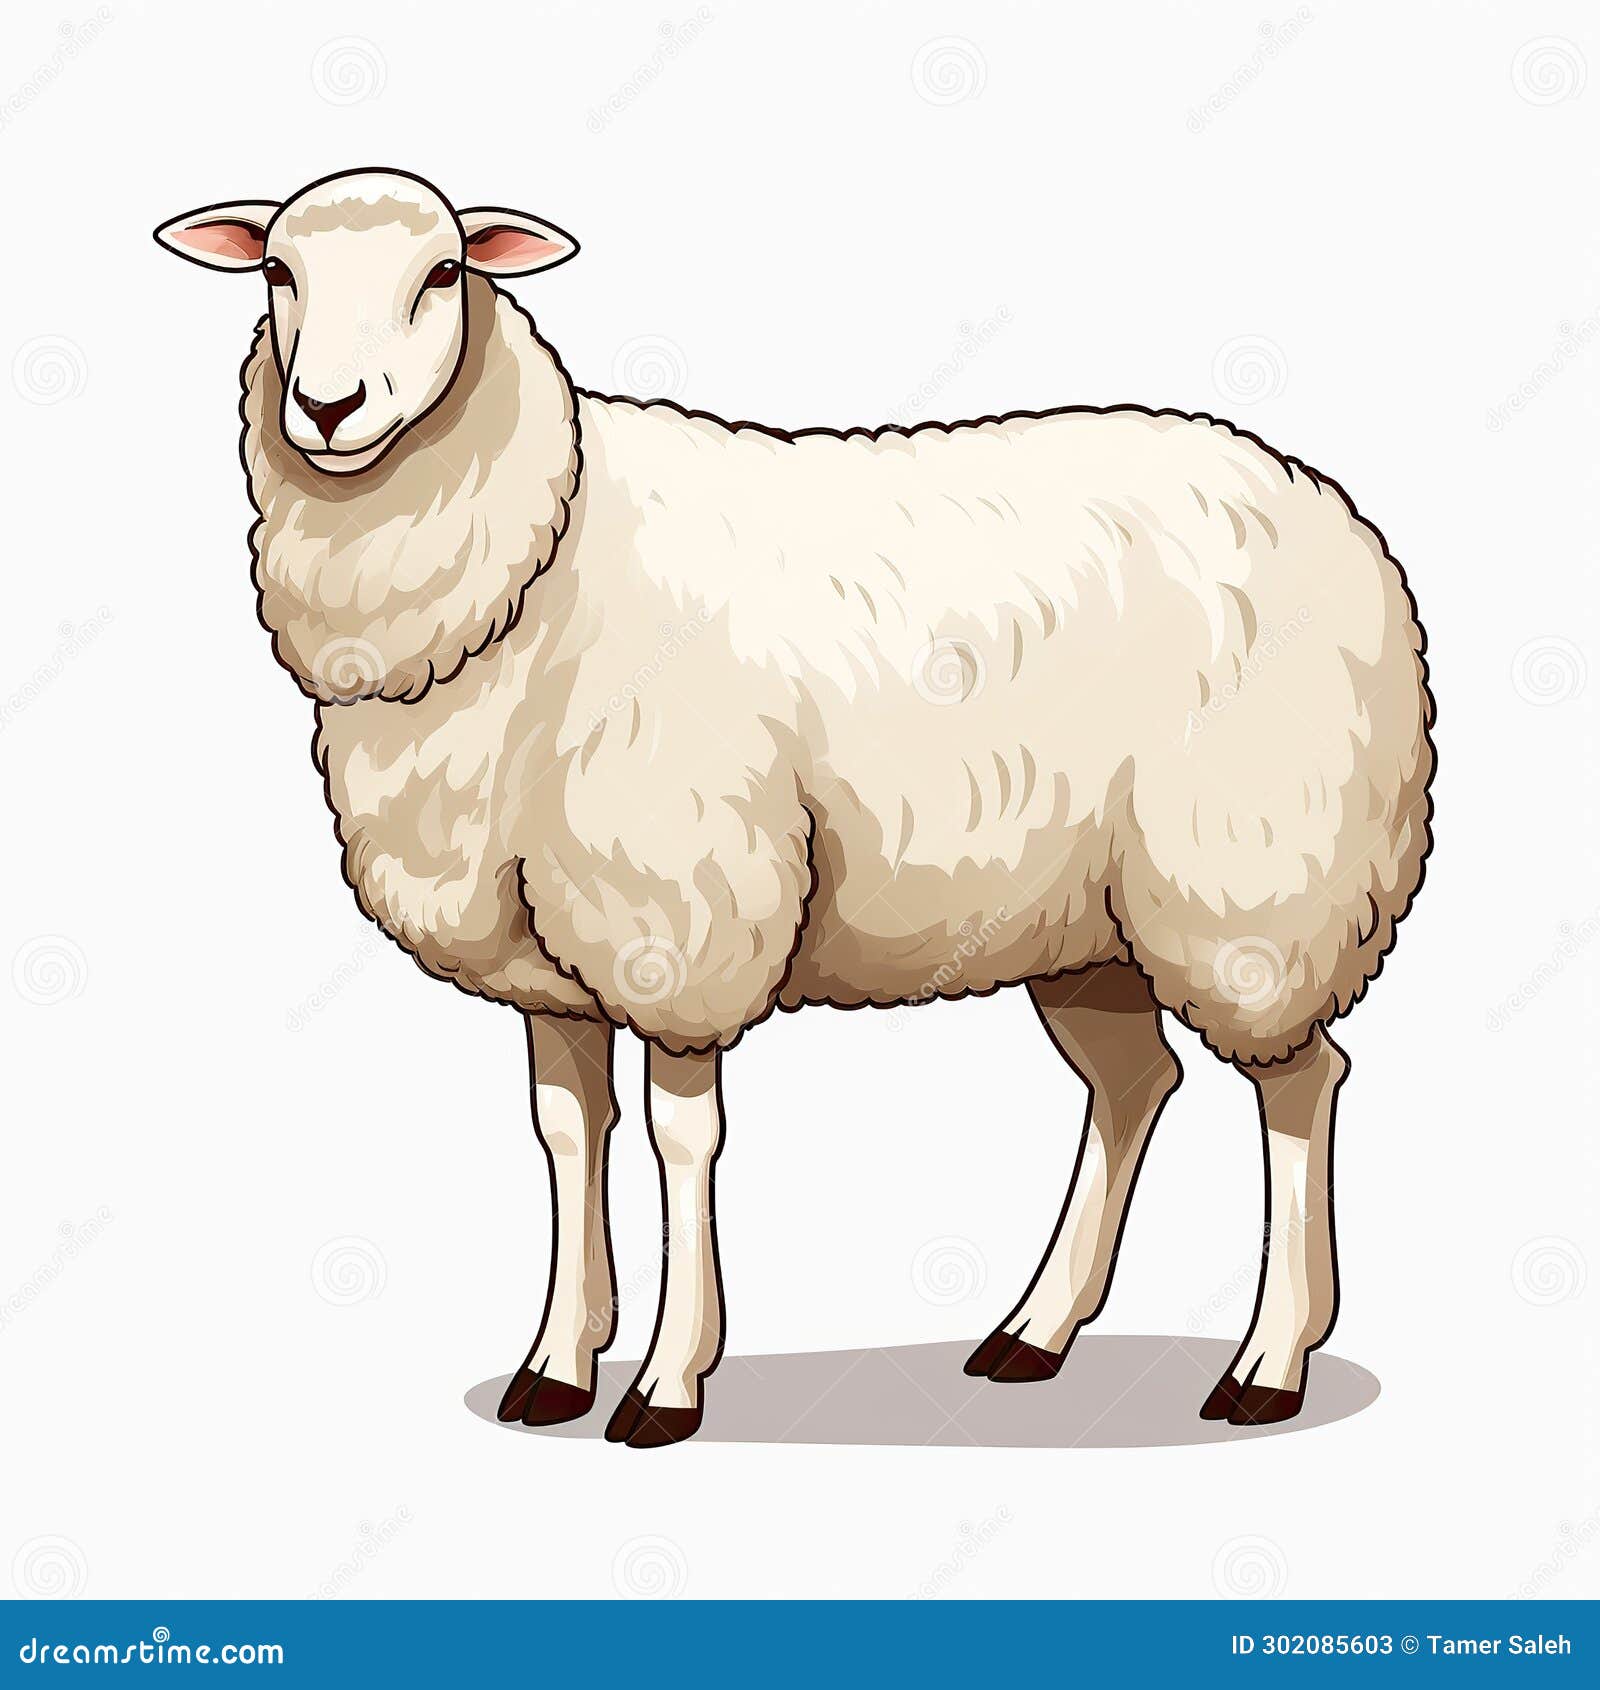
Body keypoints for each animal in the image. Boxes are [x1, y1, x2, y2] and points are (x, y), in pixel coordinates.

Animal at [156, 168, 1435, 1448]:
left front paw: (668, 1381)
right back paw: (1035, 1332)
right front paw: (558, 1364)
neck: (537, 558)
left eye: (442, 274)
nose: (327, 407)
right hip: (1088, 919)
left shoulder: (680, 922)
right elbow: (567, 1134)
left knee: (1298, 1088)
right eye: (276, 272)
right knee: (1132, 1086)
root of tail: (1329, 509)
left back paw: (1268, 1363)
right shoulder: (548, 958)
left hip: (1253, 883)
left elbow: (679, 1138)